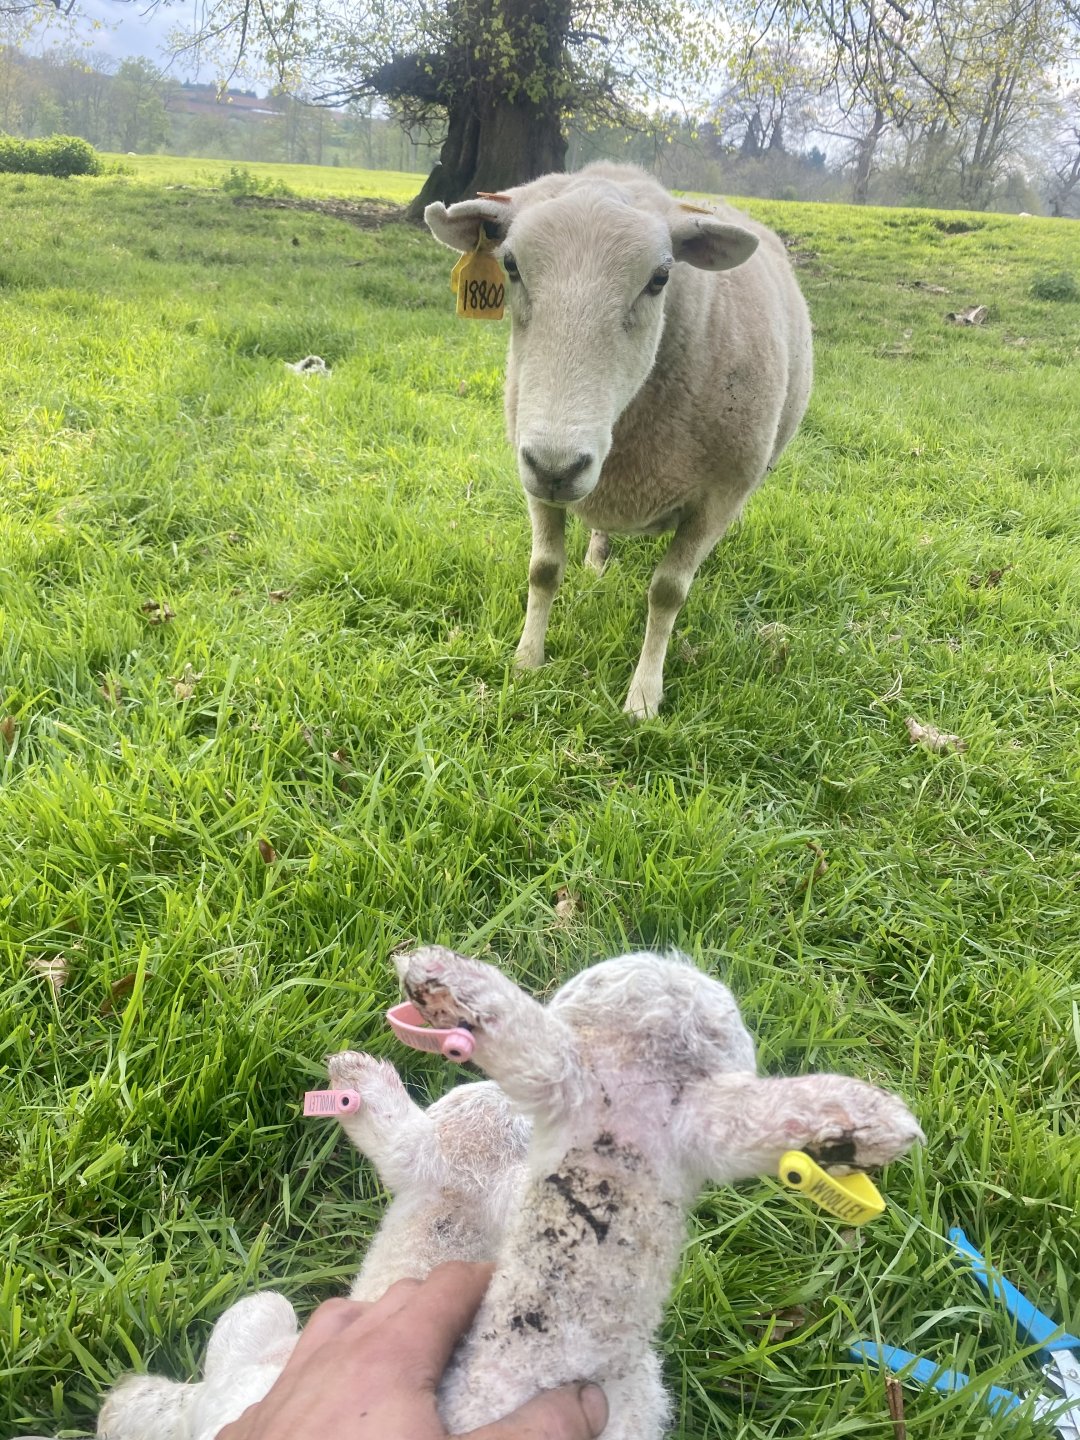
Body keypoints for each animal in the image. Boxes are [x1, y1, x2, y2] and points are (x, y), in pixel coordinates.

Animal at [425, 164, 813, 718]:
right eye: (511, 266)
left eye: (660, 278)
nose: (558, 467)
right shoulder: (533, 474)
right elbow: (543, 569)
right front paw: (526, 662)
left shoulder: (720, 495)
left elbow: (668, 593)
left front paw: (643, 699)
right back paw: (595, 560)